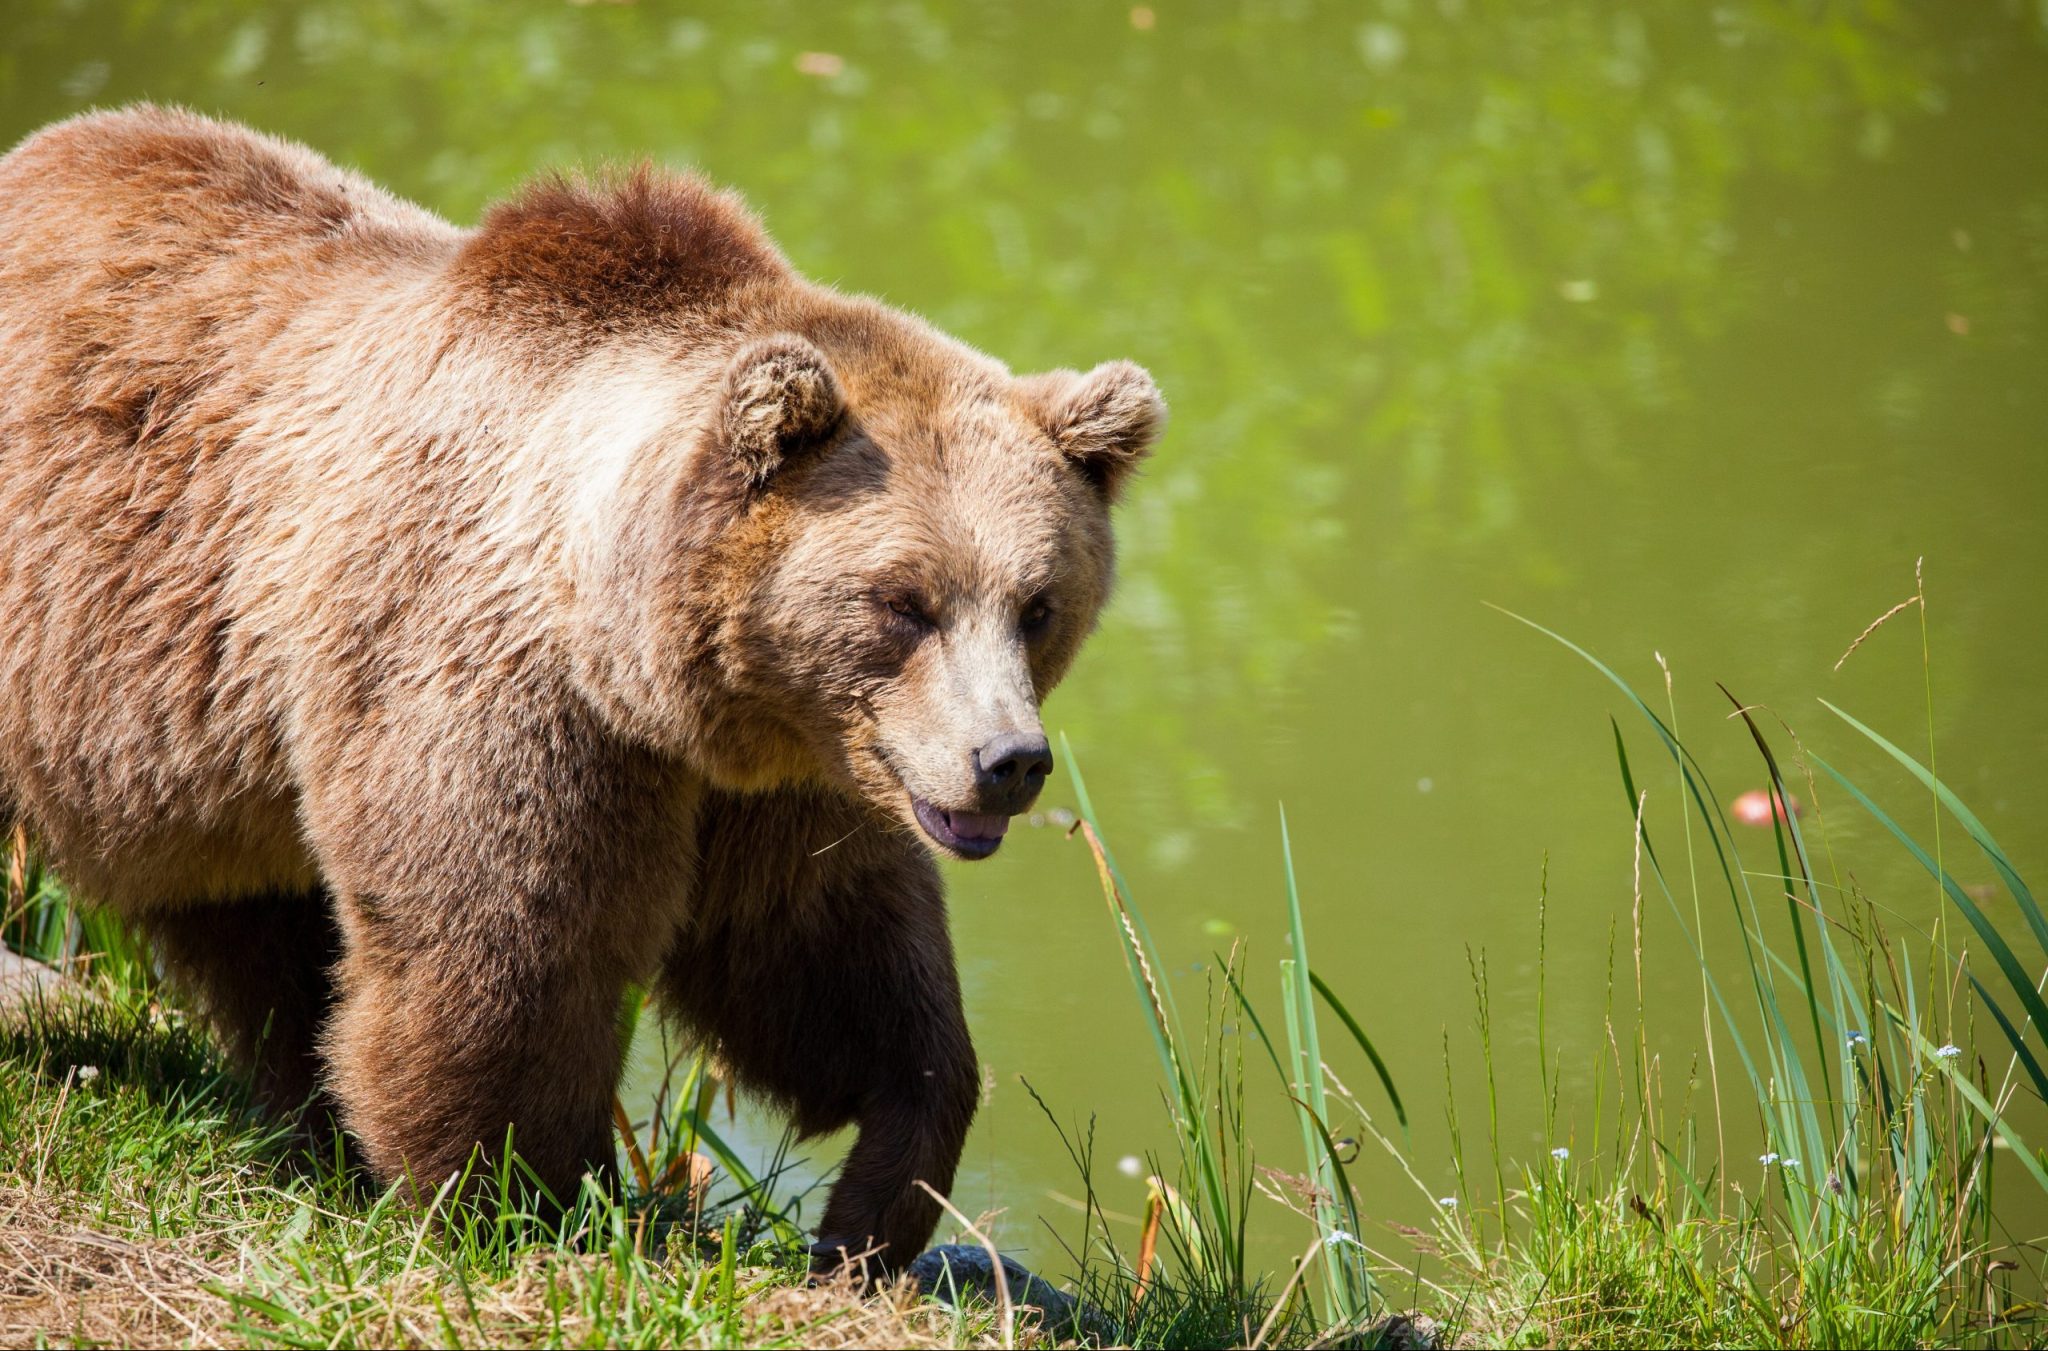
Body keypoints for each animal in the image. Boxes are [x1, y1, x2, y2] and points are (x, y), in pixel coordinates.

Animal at [0, 105, 1163, 1271]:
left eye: (1037, 603)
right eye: (903, 602)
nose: (1008, 760)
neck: (638, 657)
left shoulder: (785, 772)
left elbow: (821, 953)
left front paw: (875, 1201)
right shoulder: (497, 684)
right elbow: (503, 950)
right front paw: (527, 1201)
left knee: (251, 922)